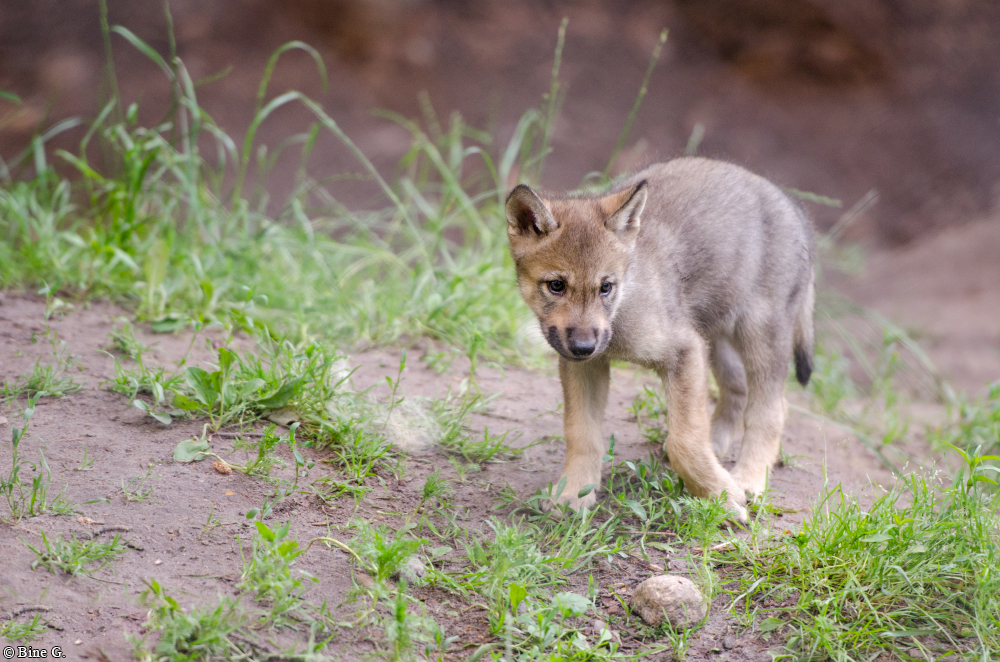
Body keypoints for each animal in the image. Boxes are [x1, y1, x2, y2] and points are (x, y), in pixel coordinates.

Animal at [505, 157, 815, 521]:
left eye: (605, 287)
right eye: (556, 286)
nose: (583, 346)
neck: (623, 307)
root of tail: (794, 210)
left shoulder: (684, 349)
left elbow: (683, 440)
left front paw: (723, 499)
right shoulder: (585, 366)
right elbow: (582, 433)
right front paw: (573, 493)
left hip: (759, 333)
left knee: (771, 408)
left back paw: (749, 479)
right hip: (716, 338)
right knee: (739, 389)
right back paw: (719, 449)